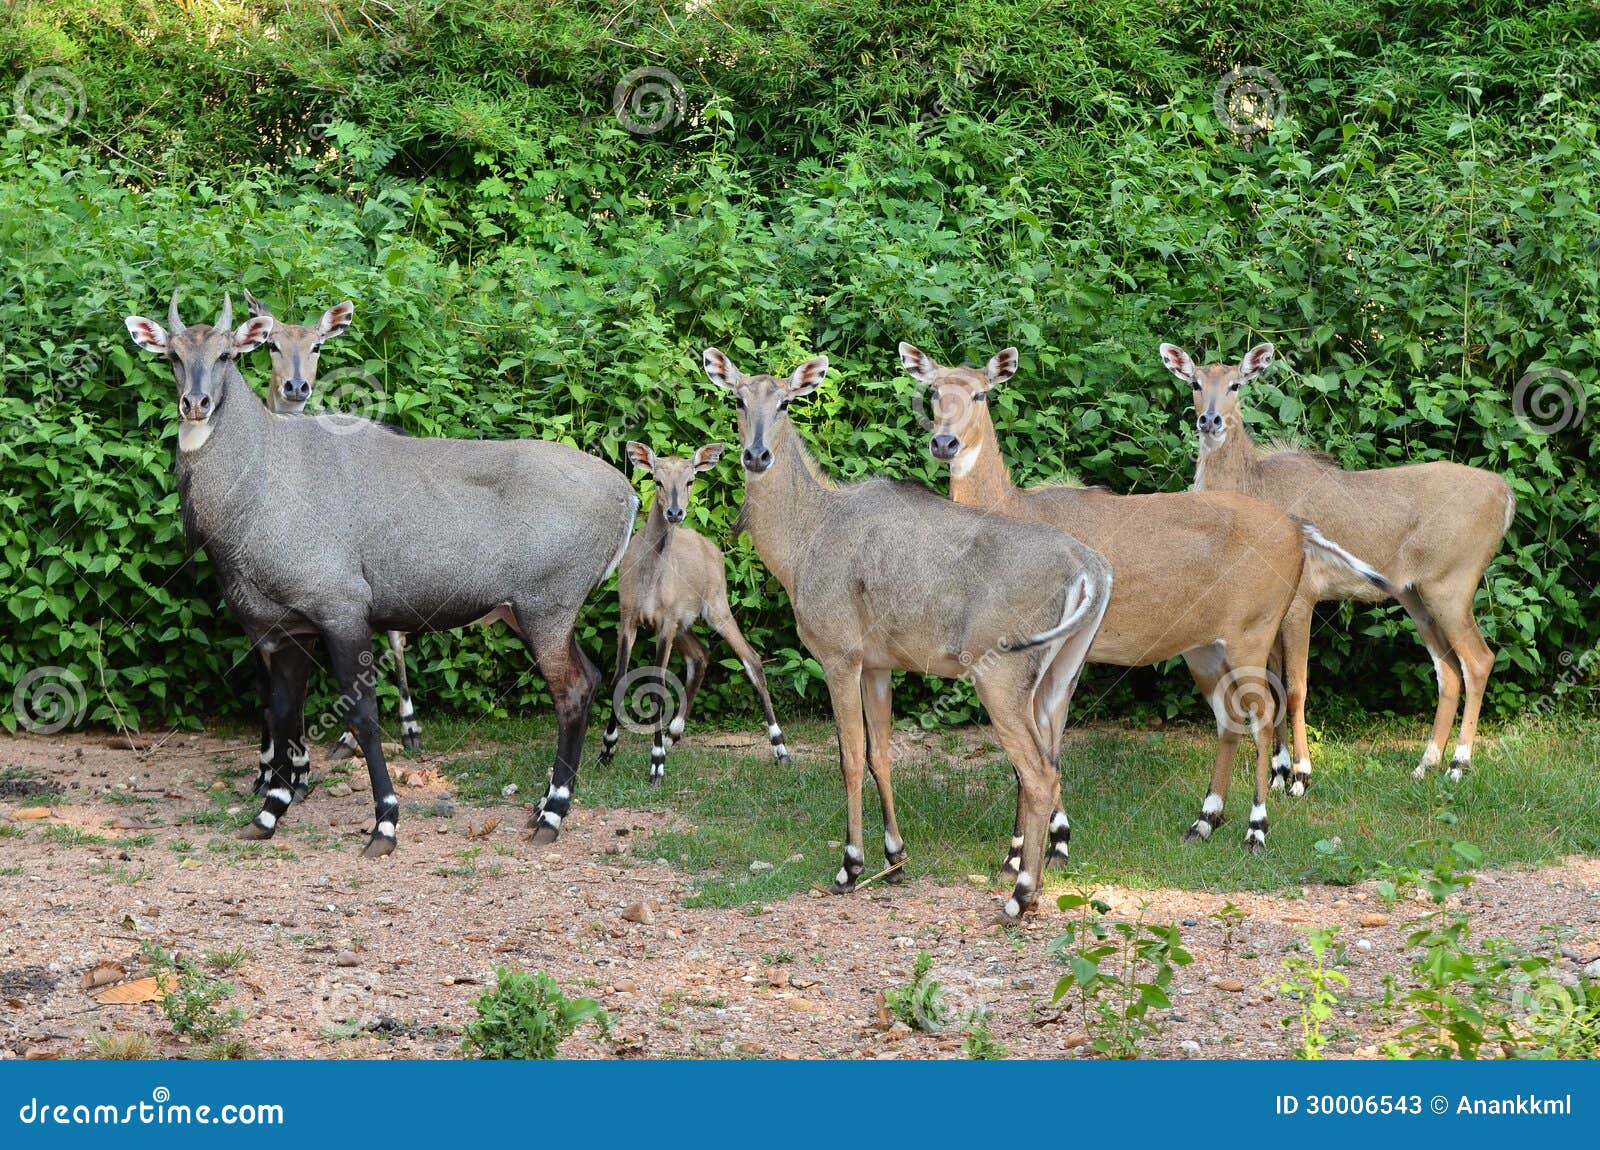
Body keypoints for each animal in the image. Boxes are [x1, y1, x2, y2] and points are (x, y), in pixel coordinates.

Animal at [599, 442, 790, 782]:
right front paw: (607, 748)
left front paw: (656, 764)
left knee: (752, 659)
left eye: (690, 481)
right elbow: (619, 677)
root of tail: (713, 549)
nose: (675, 512)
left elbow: (658, 684)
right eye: (657, 480)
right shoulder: (629, 616)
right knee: (700, 655)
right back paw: (673, 733)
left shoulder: (666, 621)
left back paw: (780, 748)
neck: (648, 576)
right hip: (684, 623)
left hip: (715, 607)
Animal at [703, 347, 1113, 921]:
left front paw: (851, 866)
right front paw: (894, 857)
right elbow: (881, 754)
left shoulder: (839, 655)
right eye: (739, 399)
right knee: (1052, 760)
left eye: (785, 402)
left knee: (1036, 771)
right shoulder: (878, 664)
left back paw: (1020, 895)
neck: (804, 538)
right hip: (1059, 675)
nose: (756, 455)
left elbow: (850, 756)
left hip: (1002, 674)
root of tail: (1091, 570)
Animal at [901, 344, 1393, 852]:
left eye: (981, 392)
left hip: (1253, 629)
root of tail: (1296, 529)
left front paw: (1052, 839)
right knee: (1229, 715)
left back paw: (1257, 825)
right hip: (1205, 645)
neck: (1014, 511)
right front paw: (1049, 838)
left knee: (1263, 708)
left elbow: (1045, 738)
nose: (944, 443)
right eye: (933, 390)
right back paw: (1204, 820)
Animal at [1160, 341, 1514, 785]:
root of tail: (1506, 497)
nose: (1209, 419)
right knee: (1448, 669)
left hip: (1452, 584)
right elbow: (1270, 686)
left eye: (1236, 384)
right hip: (1415, 594)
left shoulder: (1301, 598)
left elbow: (1296, 687)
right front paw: (1277, 772)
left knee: (1479, 660)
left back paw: (1457, 764)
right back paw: (1425, 764)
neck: (1253, 488)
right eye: (1194, 382)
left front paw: (1301, 774)